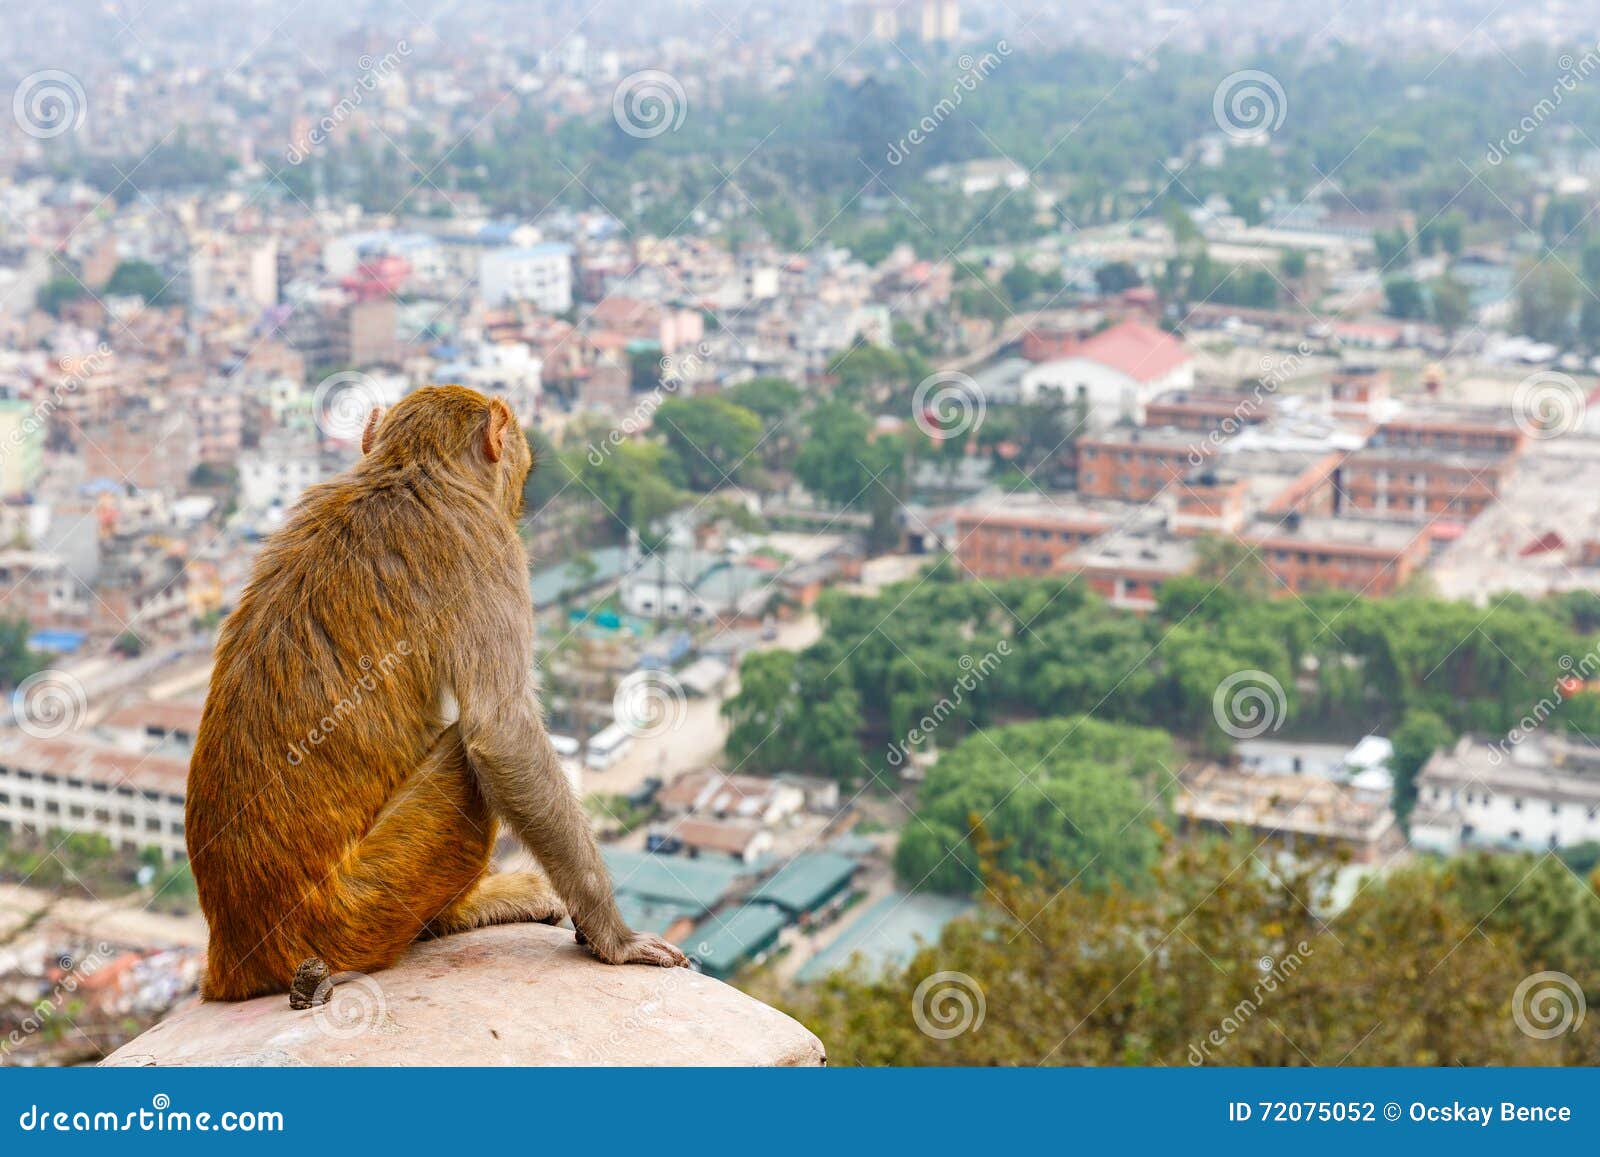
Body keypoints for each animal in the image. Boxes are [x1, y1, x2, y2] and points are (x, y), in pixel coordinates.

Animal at [186, 384, 686, 1002]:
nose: (515, 500)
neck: (408, 470)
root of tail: (233, 956)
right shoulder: (490, 548)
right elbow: (502, 731)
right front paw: (616, 938)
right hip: (358, 910)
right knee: (465, 758)